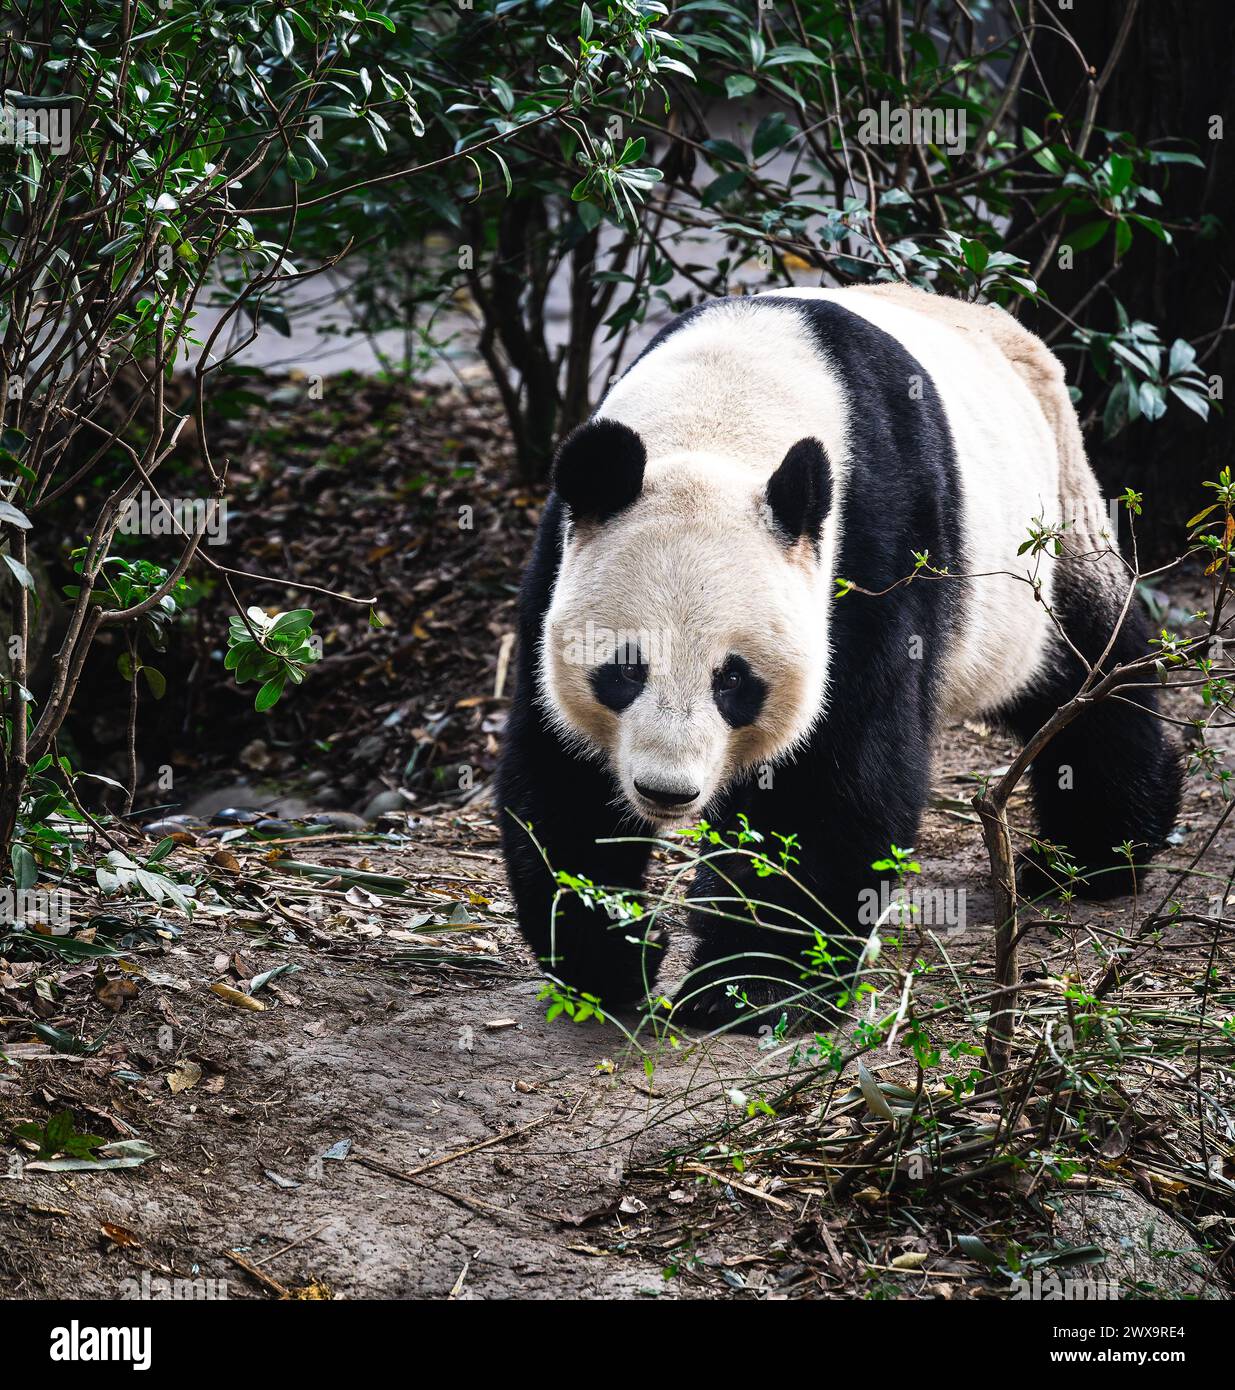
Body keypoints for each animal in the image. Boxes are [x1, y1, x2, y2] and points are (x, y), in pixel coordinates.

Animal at [497, 284, 1182, 1028]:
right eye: (625, 670)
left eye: (732, 680)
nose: (665, 791)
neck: (719, 419)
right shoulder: (559, 557)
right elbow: (559, 768)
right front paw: (615, 961)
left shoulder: (872, 542)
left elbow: (836, 766)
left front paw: (750, 986)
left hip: (1049, 526)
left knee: (1088, 675)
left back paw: (1092, 858)